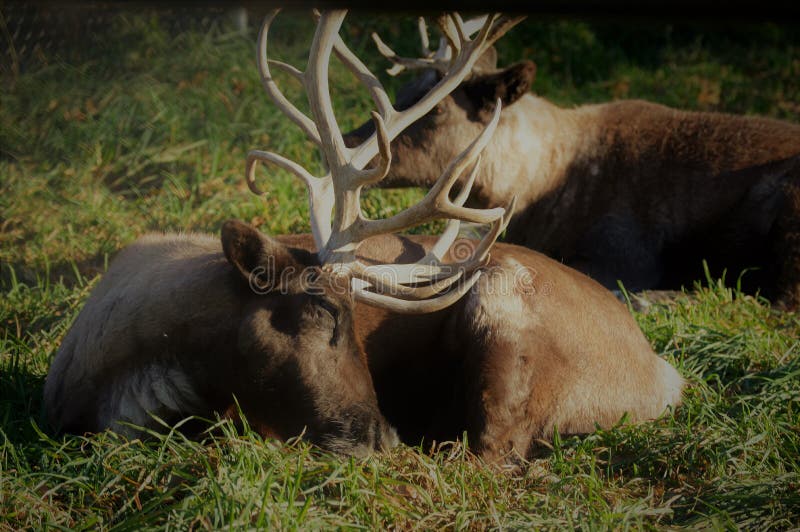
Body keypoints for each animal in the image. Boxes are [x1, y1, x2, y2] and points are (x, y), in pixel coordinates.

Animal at [44, 11, 684, 462]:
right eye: (327, 316)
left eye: (357, 322)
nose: (384, 438)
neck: (122, 370)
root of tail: (664, 378)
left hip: (501, 304)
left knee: (493, 452)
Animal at [344, 17, 800, 310]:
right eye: (403, 89)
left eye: (437, 110)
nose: (350, 143)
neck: (537, 189)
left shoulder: (623, 256)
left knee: (776, 304)